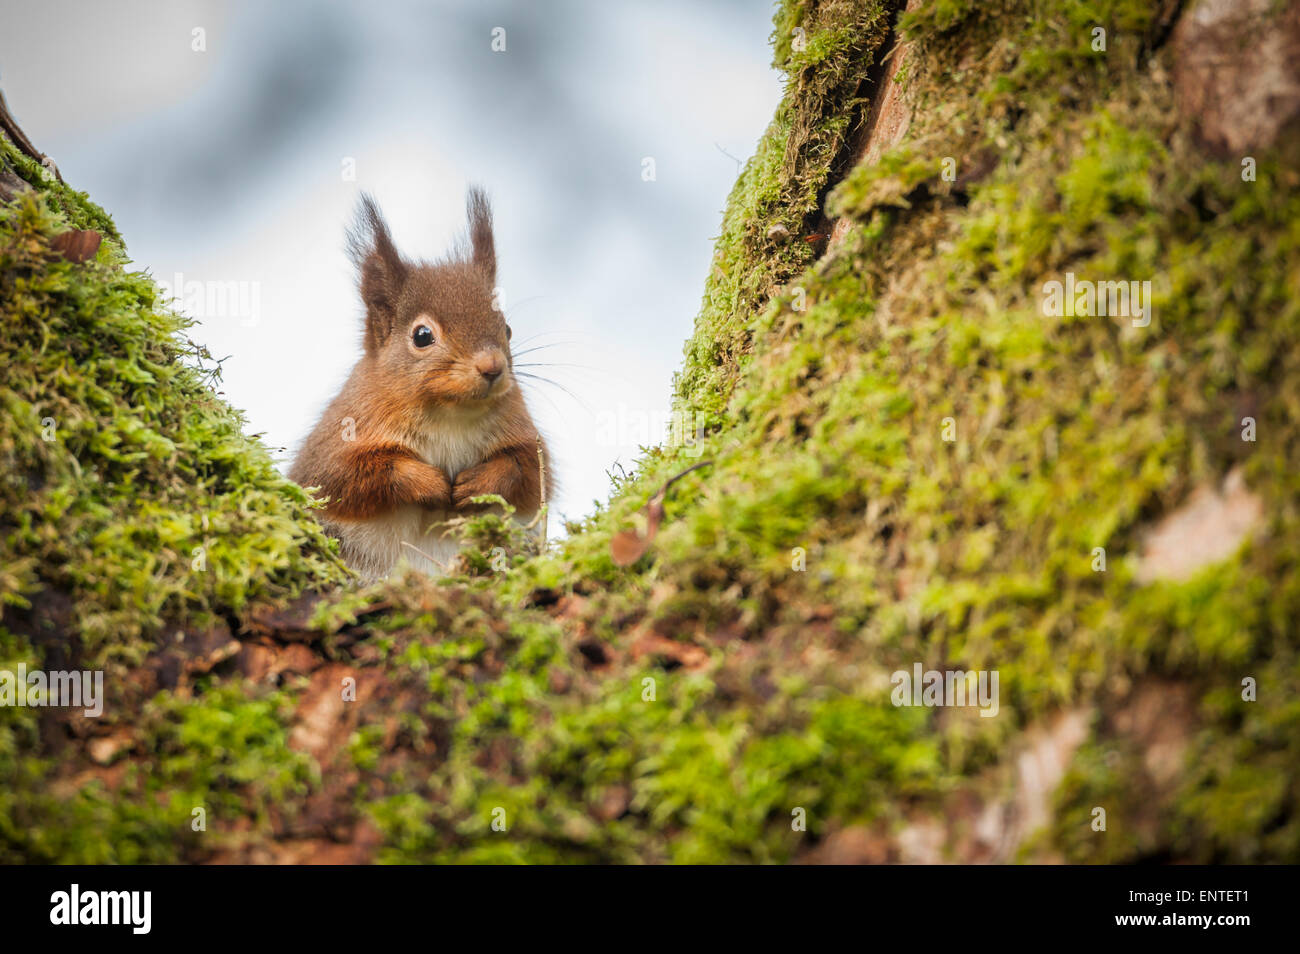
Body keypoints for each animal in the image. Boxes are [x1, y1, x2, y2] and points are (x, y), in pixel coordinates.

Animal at [290, 188, 550, 579]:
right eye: (422, 336)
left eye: (506, 329)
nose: (492, 367)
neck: (450, 414)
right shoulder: (337, 439)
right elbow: (344, 478)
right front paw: (426, 482)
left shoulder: (522, 432)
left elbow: (531, 472)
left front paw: (480, 483)